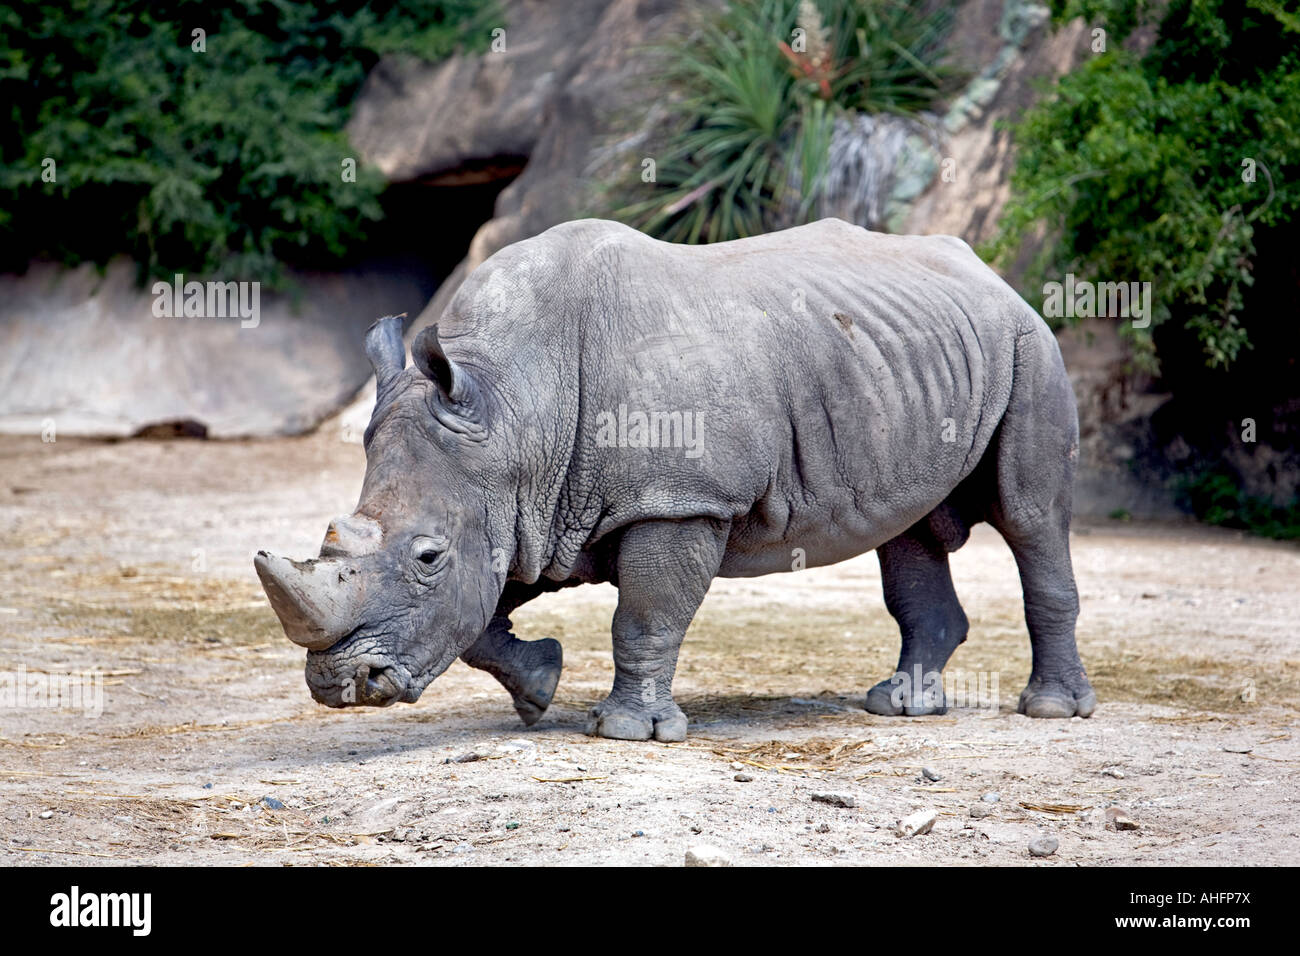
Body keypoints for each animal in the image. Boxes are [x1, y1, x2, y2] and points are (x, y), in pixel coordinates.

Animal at [254, 218, 1096, 741]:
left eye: (428, 557)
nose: (338, 684)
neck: (512, 408)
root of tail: (988, 271)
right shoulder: (529, 511)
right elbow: (482, 617)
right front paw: (540, 686)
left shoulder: (679, 502)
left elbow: (646, 615)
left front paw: (627, 730)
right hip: (911, 356)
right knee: (912, 530)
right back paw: (898, 707)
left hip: (1029, 343)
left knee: (1030, 516)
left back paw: (1051, 711)